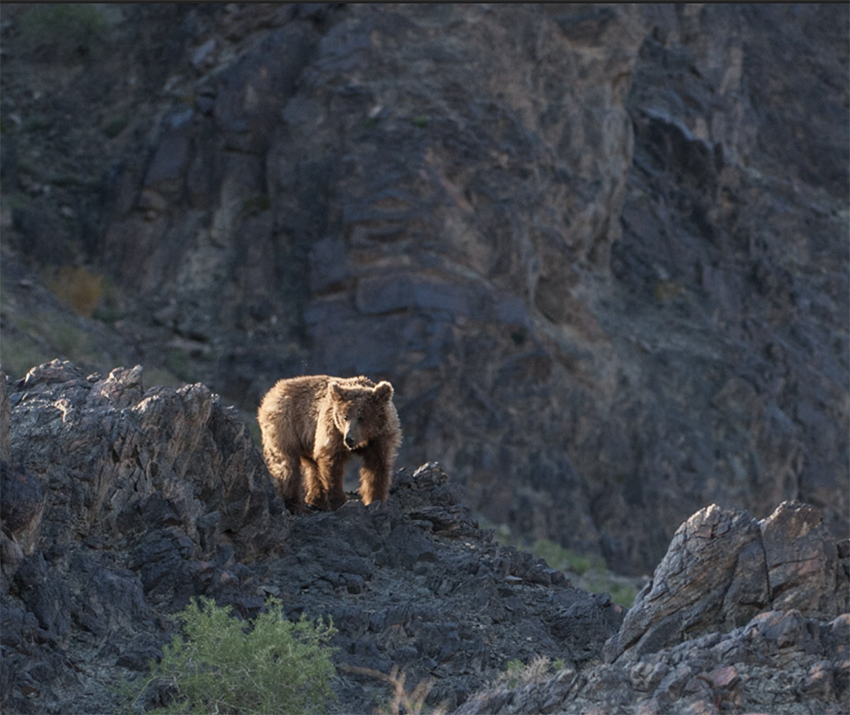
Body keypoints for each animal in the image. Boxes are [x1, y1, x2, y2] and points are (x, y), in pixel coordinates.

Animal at [257, 375, 402, 513]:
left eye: (362, 417)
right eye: (345, 417)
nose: (349, 438)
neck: (365, 439)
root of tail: (273, 391)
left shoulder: (380, 438)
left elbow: (377, 468)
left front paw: (376, 500)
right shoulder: (333, 431)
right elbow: (331, 464)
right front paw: (340, 501)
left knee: (312, 466)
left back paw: (316, 501)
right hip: (284, 424)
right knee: (287, 463)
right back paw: (296, 505)